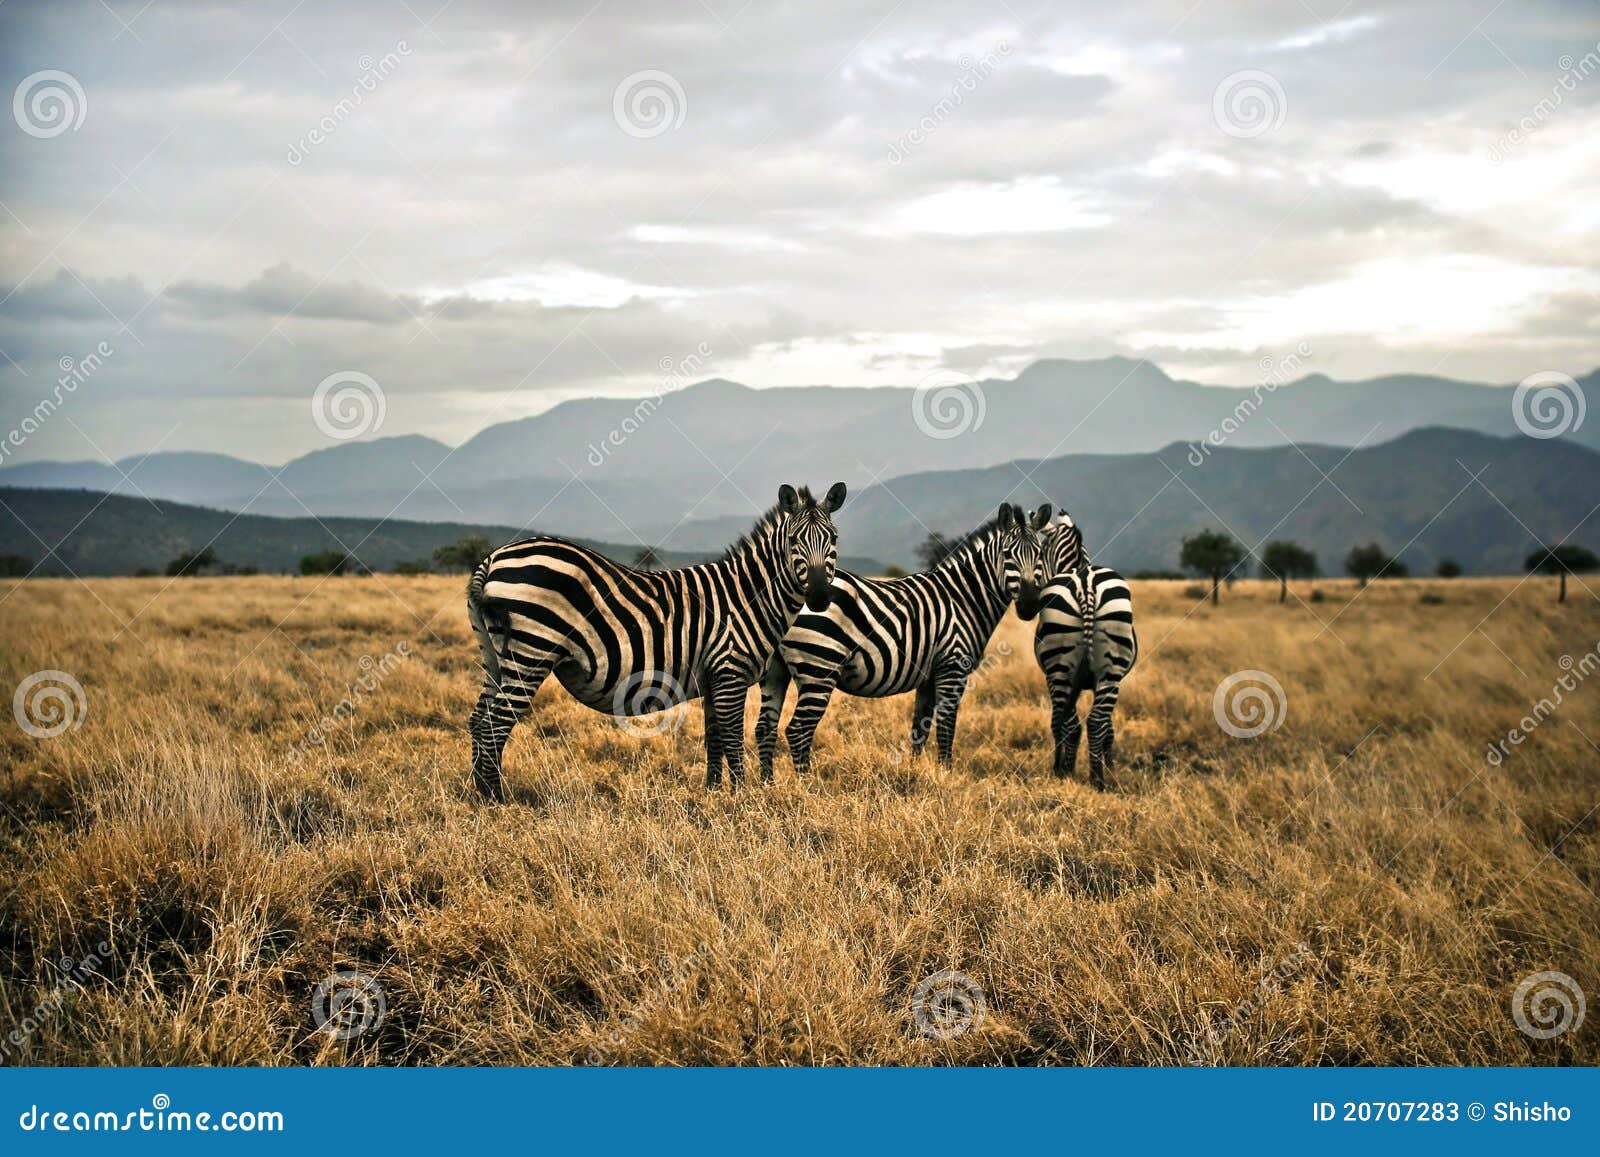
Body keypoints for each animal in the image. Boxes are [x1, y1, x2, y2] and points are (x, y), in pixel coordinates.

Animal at [466, 482, 846, 798]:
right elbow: (732, 738)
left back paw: (478, 794)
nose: (820, 597)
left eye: (834, 539)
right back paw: (497, 799)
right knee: (496, 722)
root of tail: (493, 558)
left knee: (479, 719)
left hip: (495, 653)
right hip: (532, 650)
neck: (747, 596)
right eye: (794, 542)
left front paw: (714, 795)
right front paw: (742, 799)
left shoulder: (714, 677)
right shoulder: (730, 671)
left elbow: (714, 739)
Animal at [756, 502, 1053, 778]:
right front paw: (945, 775)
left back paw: (768, 784)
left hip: (776, 669)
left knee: (765, 728)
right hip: (820, 665)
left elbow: (919, 727)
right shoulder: (953, 667)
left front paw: (915, 773)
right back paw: (807, 785)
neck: (964, 597)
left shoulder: (930, 676)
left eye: (1039, 555)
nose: (1029, 606)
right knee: (798, 730)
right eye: (1007, 555)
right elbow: (946, 726)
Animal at [1033, 511, 1138, 789]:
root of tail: (1085, 583)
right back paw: (1097, 778)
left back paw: (1069, 771)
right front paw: (1109, 764)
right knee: (1094, 721)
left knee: (1069, 721)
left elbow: (1060, 722)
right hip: (1110, 668)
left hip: (1060, 670)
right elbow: (1109, 728)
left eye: (1039, 553)